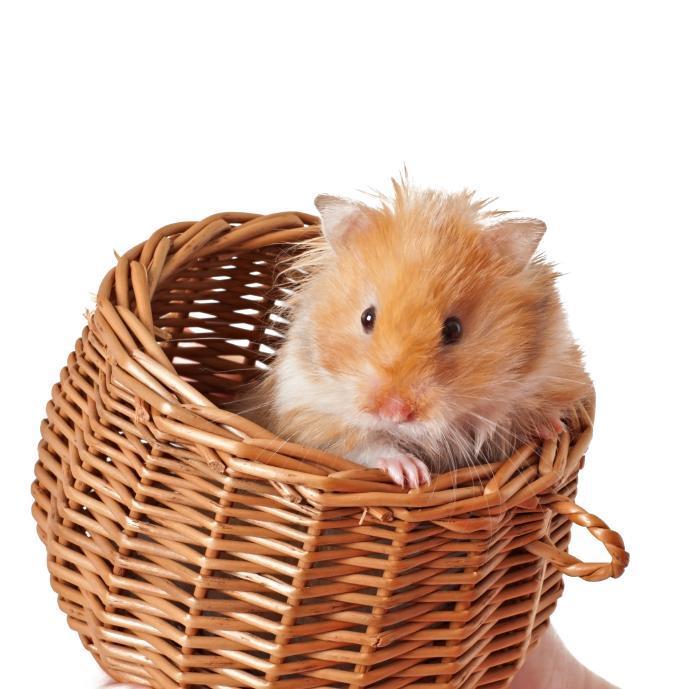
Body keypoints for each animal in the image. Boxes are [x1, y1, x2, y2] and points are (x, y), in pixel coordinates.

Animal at [243, 180, 592, 488]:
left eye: (453, 329)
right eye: (367, 317)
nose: (394, 412)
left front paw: (554, 429)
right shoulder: (309, 416)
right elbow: (369, 445)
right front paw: (413, 475)